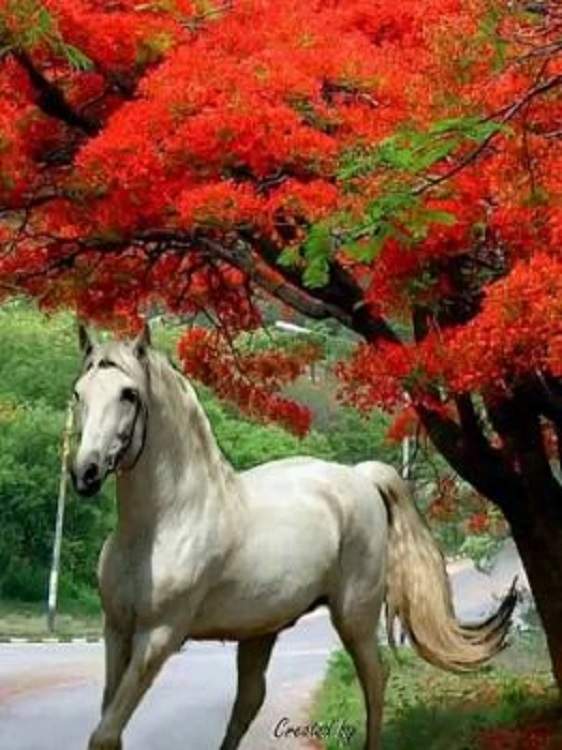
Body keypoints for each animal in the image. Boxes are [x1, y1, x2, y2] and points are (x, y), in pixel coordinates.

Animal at [70, 325, 516, 750]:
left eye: (129, 394)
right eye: (79, 393)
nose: (85, 473)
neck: (164, 522)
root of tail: (361, 476)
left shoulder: (159, 636)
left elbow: (104, 734)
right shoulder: (117, 630)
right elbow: (109, 725)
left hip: (353, 616)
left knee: (375, 678)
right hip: (260, 629)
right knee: (248, 703)